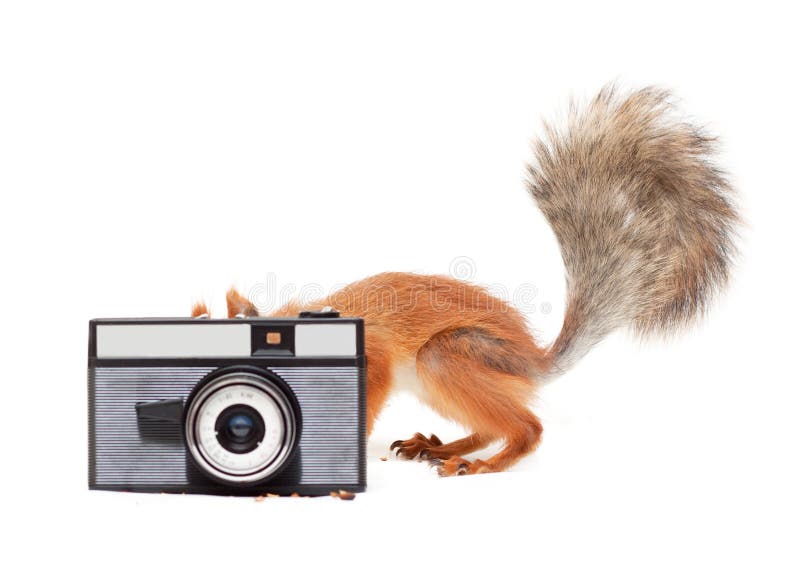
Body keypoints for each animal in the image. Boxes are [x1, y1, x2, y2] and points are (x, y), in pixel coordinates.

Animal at [192, 85, 739, 476]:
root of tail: (533, 363)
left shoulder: (374, 360)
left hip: (453, 357)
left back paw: (481, 464)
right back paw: (439, 446)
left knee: (525, 427)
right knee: (490, 425)